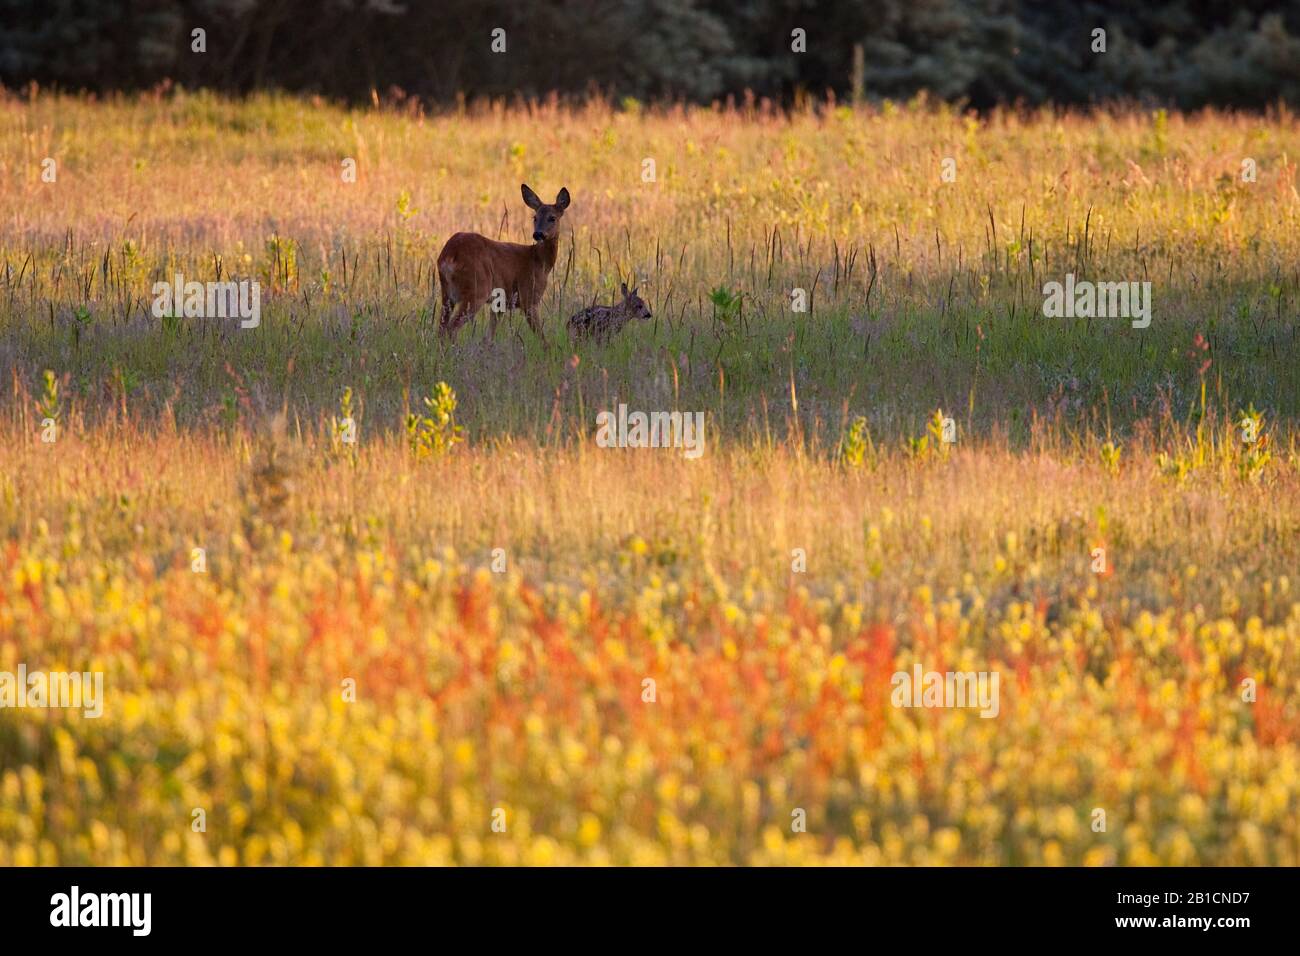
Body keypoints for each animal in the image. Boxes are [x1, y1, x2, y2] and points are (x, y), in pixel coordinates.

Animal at [436, 184, 570, 344]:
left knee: (441, 327)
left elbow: (488, 338)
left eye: (552, 218)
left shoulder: (501, 303)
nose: (538, 234)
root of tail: (450, 255)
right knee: (452, 328)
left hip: (446, 293)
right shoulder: (529, 296)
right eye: (535, 217)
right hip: (477, 289)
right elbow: (542, 338)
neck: (539, 261)